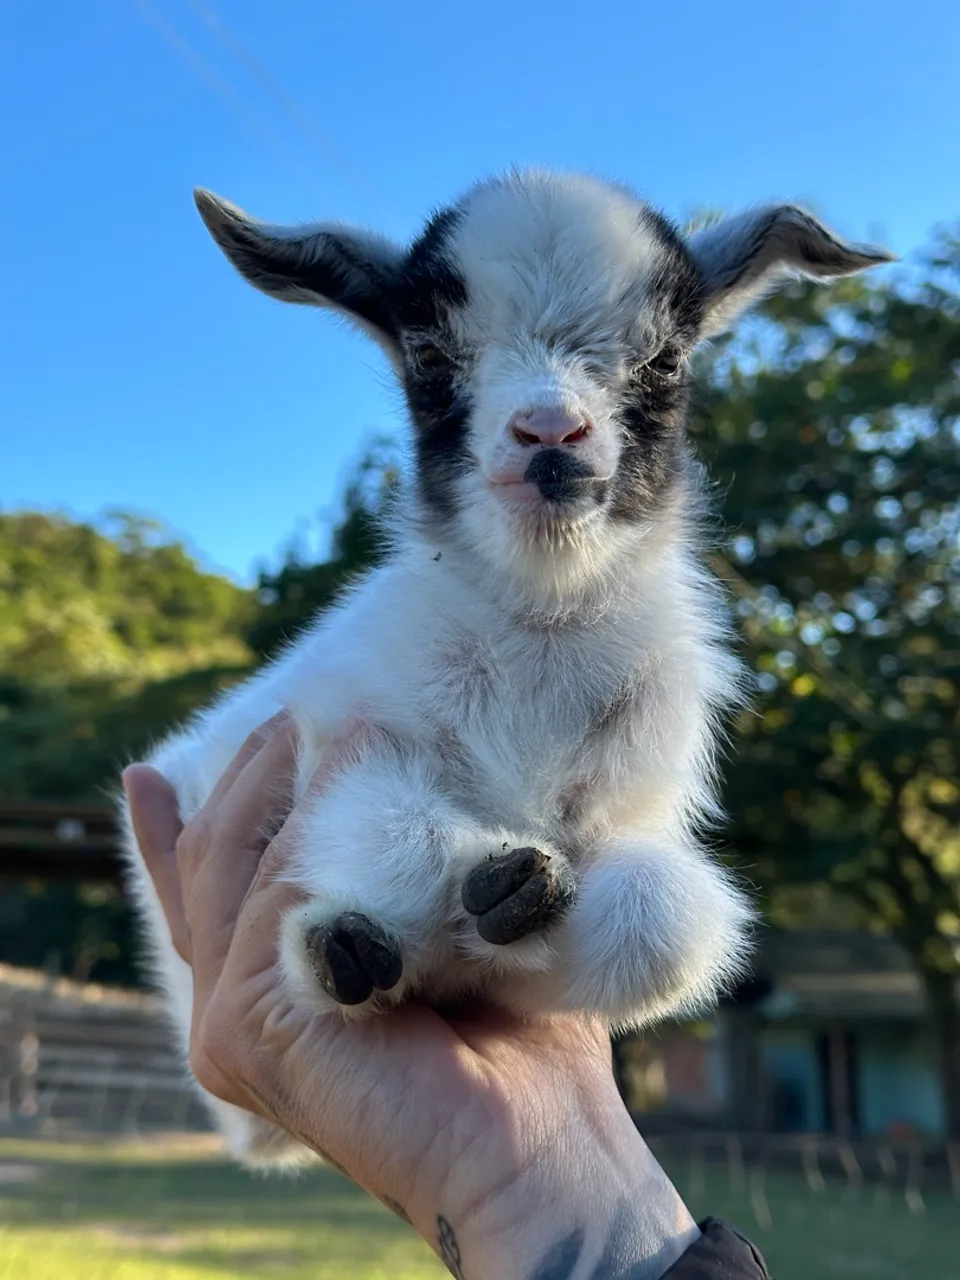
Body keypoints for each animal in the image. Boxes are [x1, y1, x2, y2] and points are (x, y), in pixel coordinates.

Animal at [121, 168, 891, 1166]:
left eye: (665, 358)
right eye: (426, 354)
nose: (550, 433)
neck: (541, 624)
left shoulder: (634, 806)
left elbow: (667, 920)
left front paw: (510, 927)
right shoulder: (305, 735)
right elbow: (384, 813)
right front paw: (481, 891)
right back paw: (341, 952)